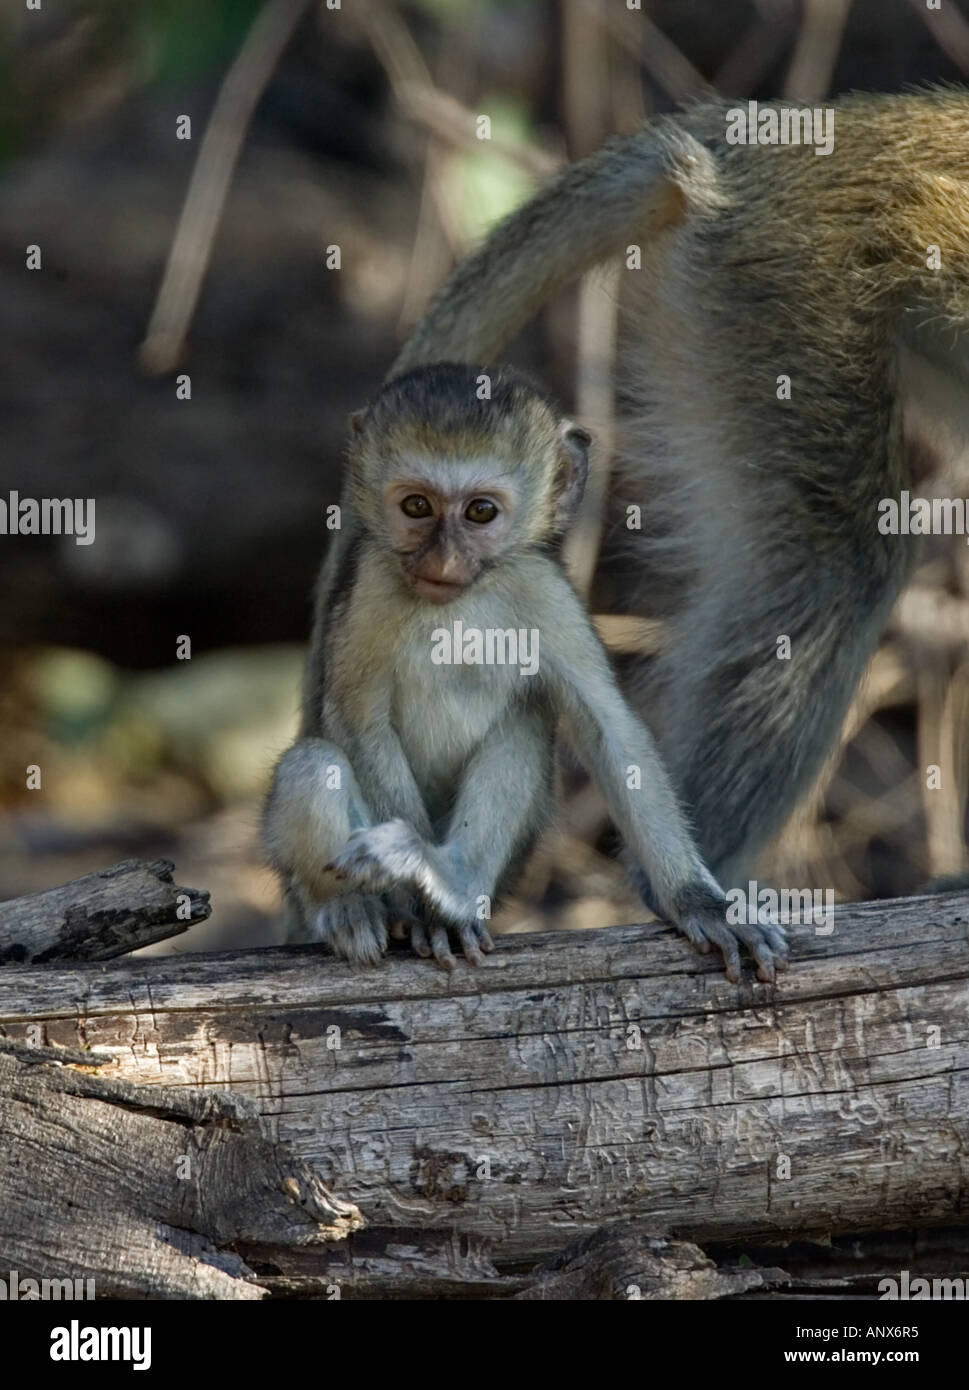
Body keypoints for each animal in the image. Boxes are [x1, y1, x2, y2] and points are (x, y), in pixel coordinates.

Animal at [263, 364, 787, 979]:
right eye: (416, 507)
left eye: (480, 512)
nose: (442, 563)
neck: (458, 602)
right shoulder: (371, 584)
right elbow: (357, 721)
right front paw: (415, 907)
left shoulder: (542, 590)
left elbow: (609, 730)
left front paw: (698, 901)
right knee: (313, 762)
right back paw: (355, 905)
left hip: (508, 872)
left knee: (526, 721)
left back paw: (447, 881)